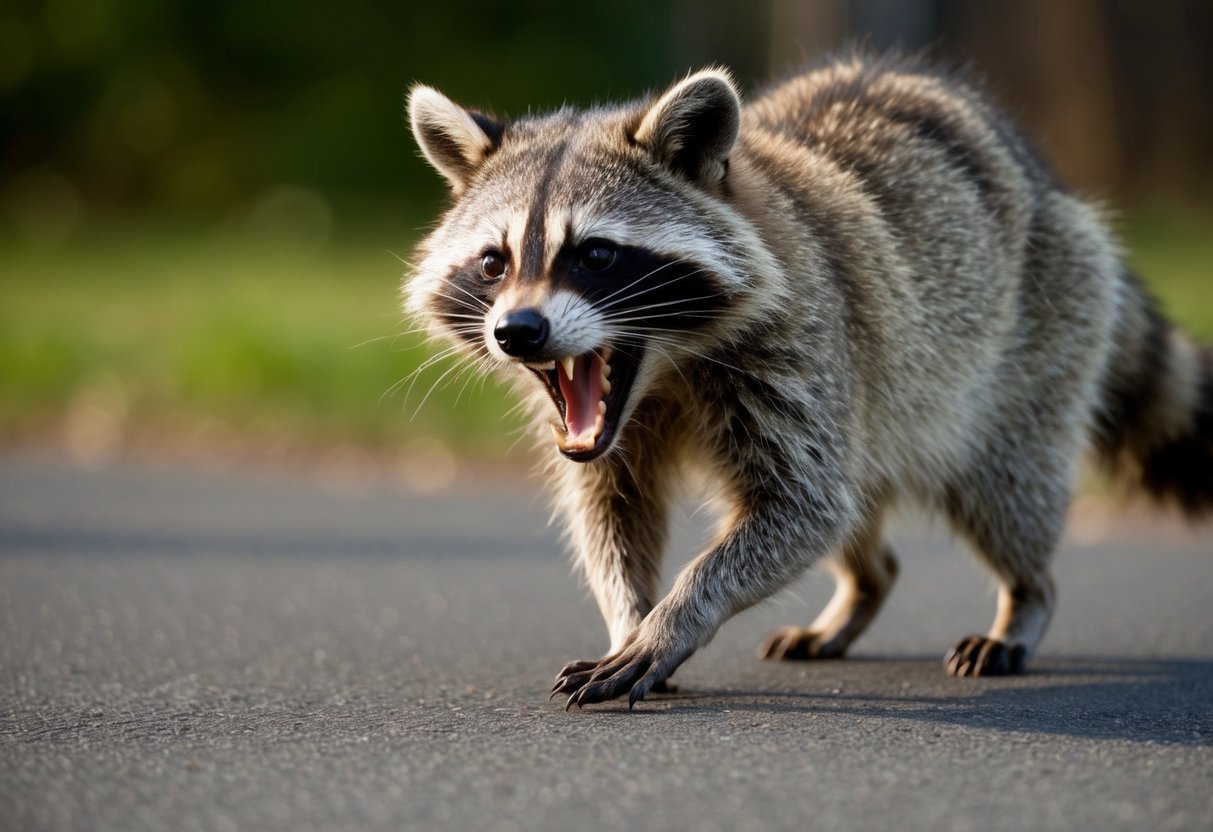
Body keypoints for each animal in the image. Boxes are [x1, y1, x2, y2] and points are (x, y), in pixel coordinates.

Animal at [404, 53, 1213, 709]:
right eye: (494, 262)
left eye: (596, 254)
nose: (518, 332)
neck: (665, 367)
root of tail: (1050, 186)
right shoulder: (610, 436)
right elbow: (612, 512)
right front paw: (628, 615)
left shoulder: (799, 345)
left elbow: (802, 506)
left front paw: (676, 615)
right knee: (865, 508)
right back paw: (863, 587)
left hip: (1038, 335)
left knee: (1004, 489)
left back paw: (1024, 598)